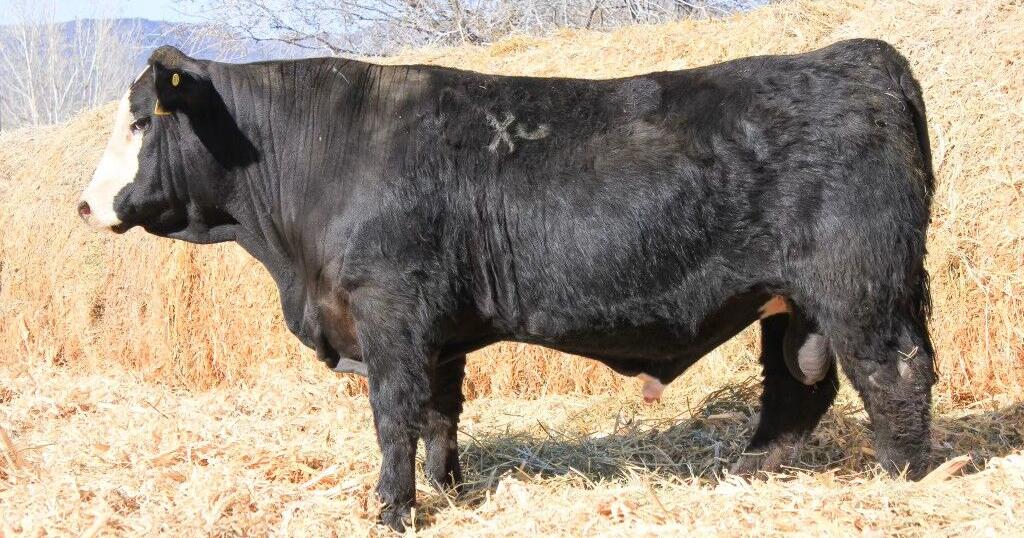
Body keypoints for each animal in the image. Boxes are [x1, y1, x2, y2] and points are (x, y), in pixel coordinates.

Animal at [78, 39, 936, 530]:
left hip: (861, 287)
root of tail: (861, 55)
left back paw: (903, 484)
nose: (84, 205)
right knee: (799, 389)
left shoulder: (390, 311)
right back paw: (745, 476)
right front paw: (448, 490)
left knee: (894, 374)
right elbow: (439, 415)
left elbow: (394, 416)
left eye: (140, 121)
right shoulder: (439, 331)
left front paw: (391, 511)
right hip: (793, 305)